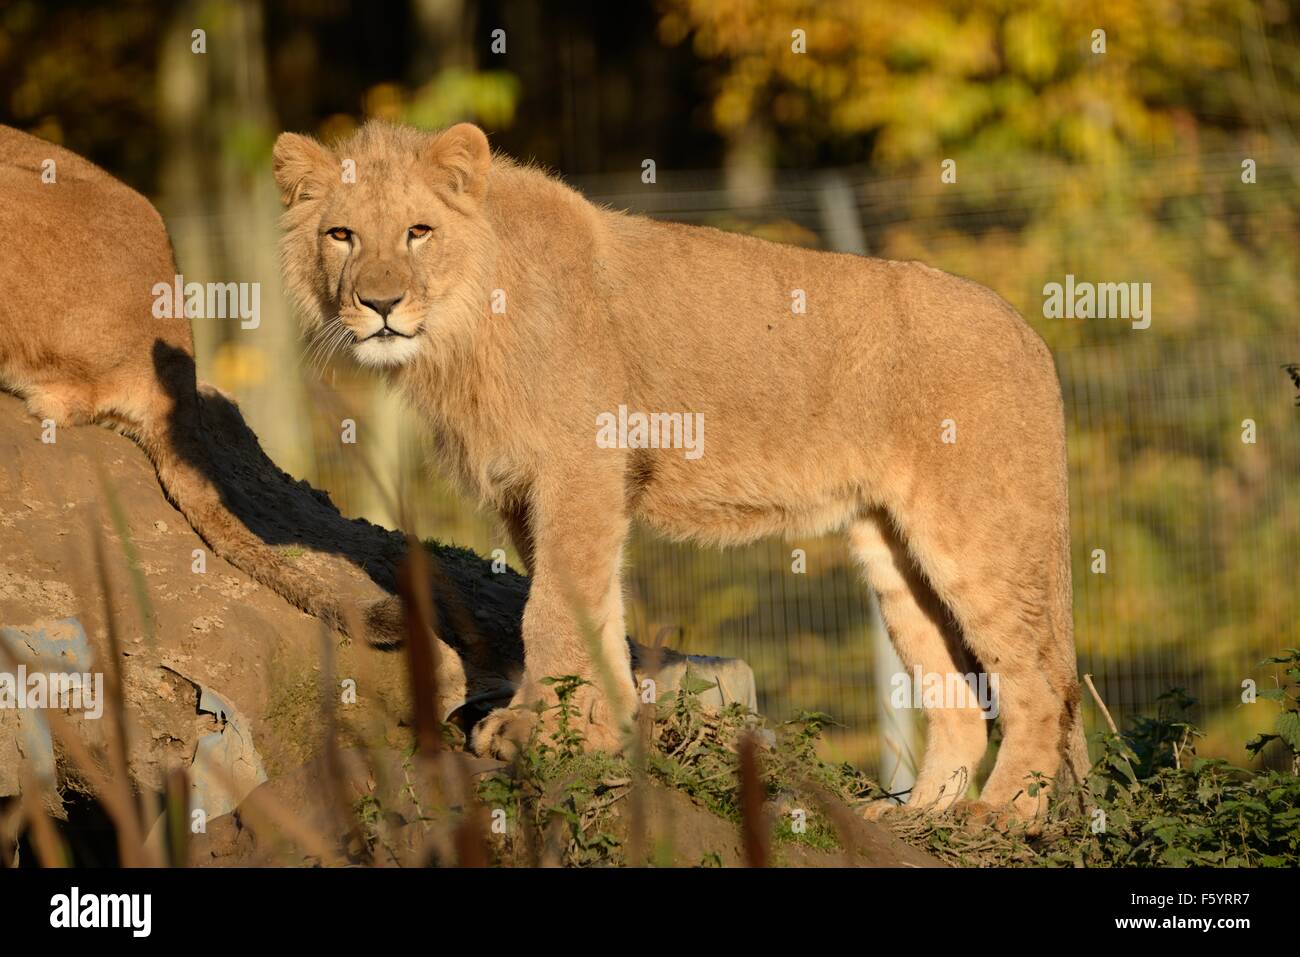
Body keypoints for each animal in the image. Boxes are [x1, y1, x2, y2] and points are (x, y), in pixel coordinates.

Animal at [273, 120, 1091, 819]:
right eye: (341, 235)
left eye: (419, 231)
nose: (379, 302)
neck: (462, 328)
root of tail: (1029, 334)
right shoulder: (532, 489)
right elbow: (591, 605)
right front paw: (603, 729)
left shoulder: (581, 465)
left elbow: (552, 608)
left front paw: (538, 730)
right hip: (893, 548)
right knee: (958, 694)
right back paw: (920, 814)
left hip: (978, 533)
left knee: (1040, 684)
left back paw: (1001, 815)